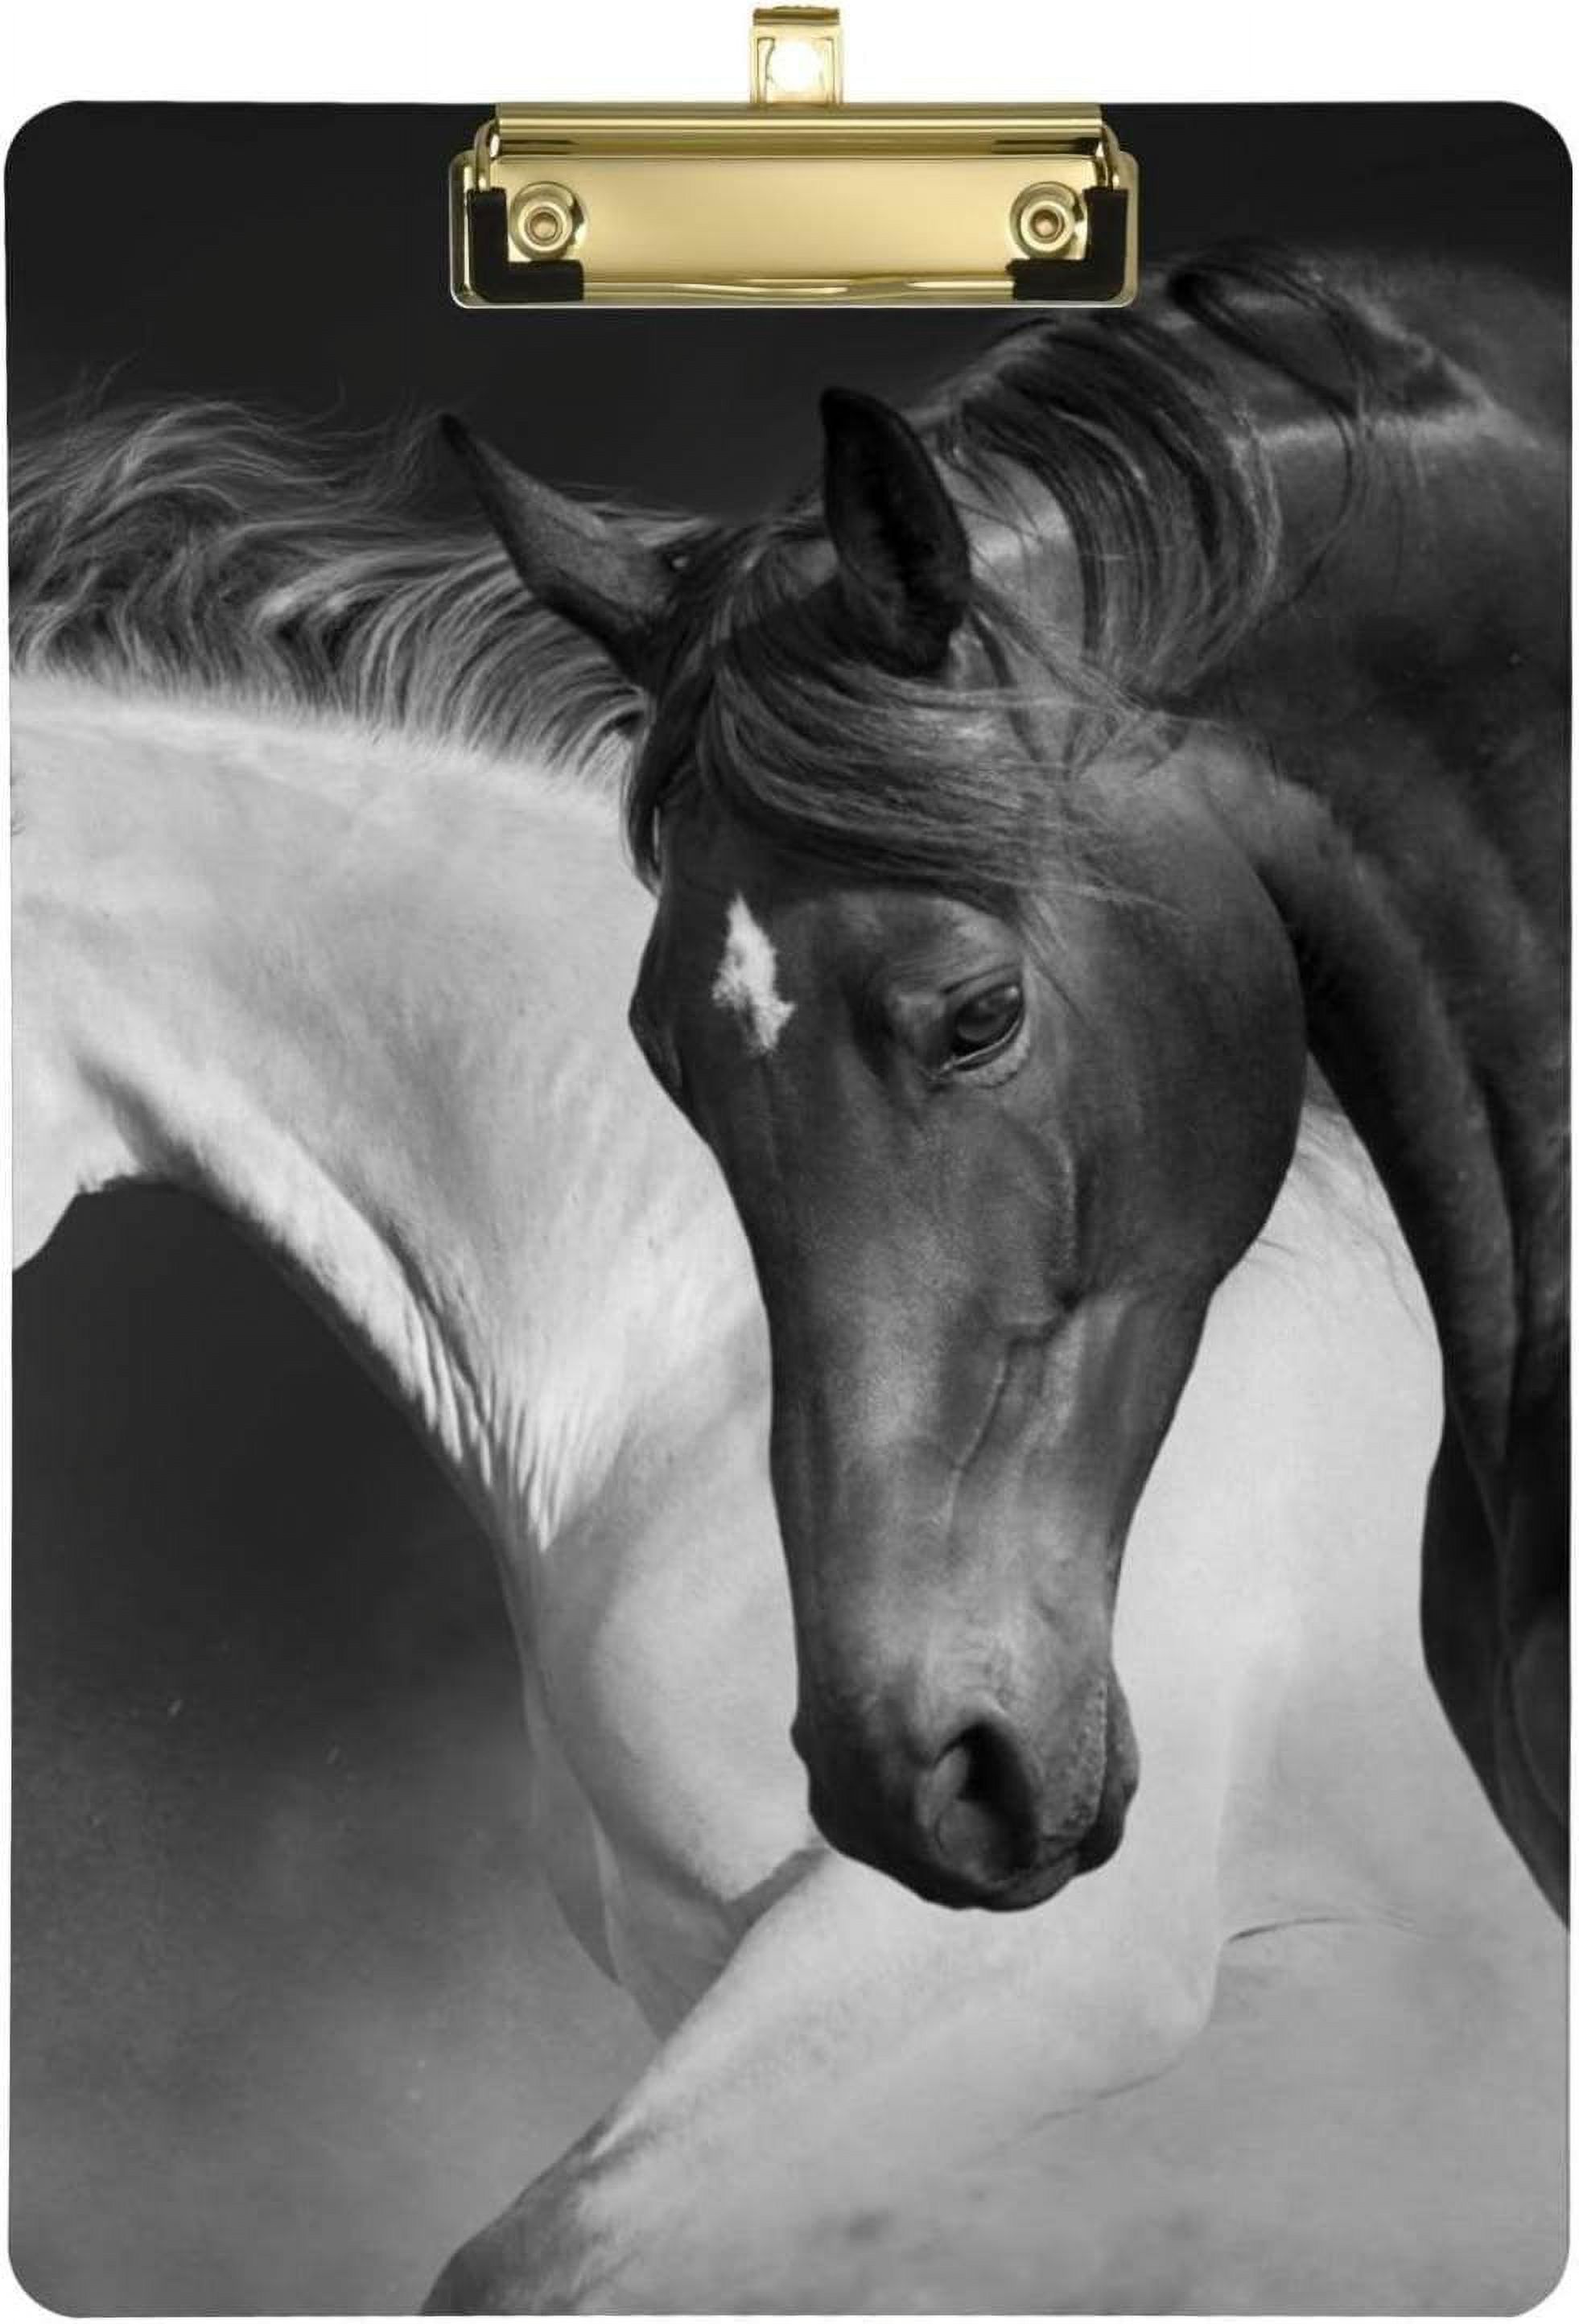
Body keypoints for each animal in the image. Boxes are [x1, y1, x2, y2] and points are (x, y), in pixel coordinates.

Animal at [10, 403, 1562, 2314]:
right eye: (658, 1038)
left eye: (978, 1014)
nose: (944, 1764)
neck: (675, 1373)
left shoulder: (1022, 1975)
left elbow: (525, 2263)